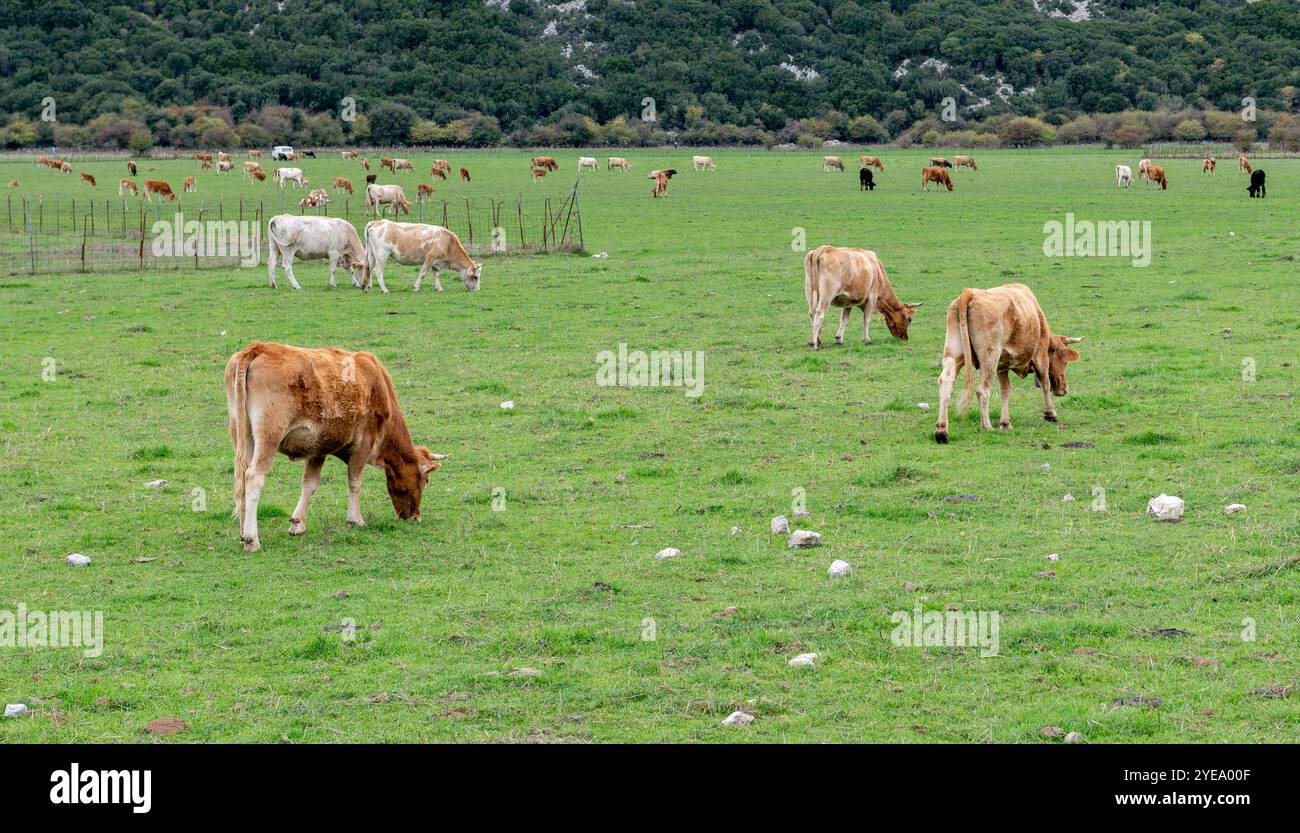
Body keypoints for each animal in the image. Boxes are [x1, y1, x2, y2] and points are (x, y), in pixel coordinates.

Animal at [223, 341, 442, 552]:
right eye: (426, 480)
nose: (415, 516)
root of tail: (258, 347)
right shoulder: (364, 443)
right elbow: (355, 481)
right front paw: (356, 519)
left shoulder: (318, 447)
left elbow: (310, 484)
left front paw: (298, 524)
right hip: (270, 435)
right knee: (253, 477)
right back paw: (252, 539)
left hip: (243, 435)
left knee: (242, 477)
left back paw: (243, 534)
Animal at [933, 283, 1081, 444]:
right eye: (1065, 363)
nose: (1064, 388)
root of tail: (970, 293)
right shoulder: (1041, 355)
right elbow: (1045, 383)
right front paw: (1050, 413)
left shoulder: (1002, 367)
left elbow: (1005, 390)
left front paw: (1005, 422)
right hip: (990, 356)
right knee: (982, 389)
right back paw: (986, 426)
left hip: (954, 353)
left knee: (946, 382)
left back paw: (941, 431)